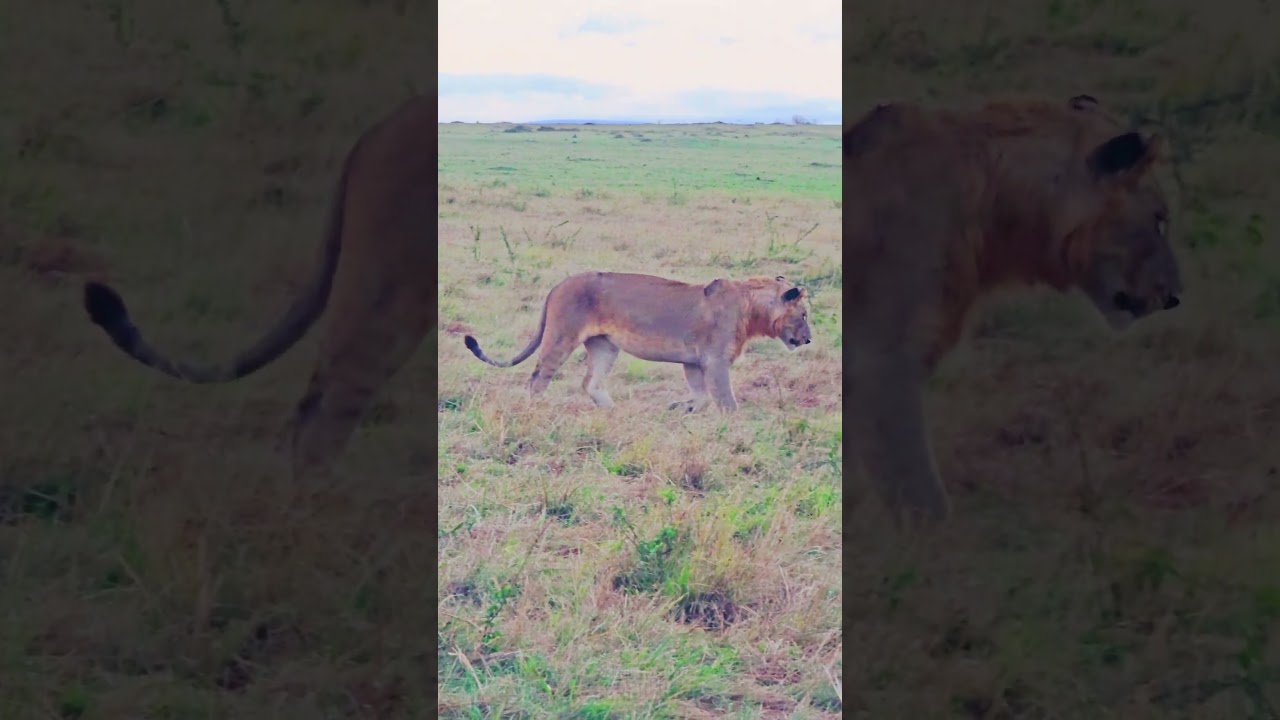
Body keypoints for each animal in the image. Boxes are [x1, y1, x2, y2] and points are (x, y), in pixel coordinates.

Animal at [463, 272, 812, 411]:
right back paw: (535, 410)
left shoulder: (693, 362)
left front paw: (681, 407)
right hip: (562, 335)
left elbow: (701, 397)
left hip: (605, 345)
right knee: (538, 377)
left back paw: (614, 412)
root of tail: (557, 285)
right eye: (805, 314)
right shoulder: (714, 360)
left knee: (591, 383)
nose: (808, 340)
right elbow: (725, 400)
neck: (752, 308)